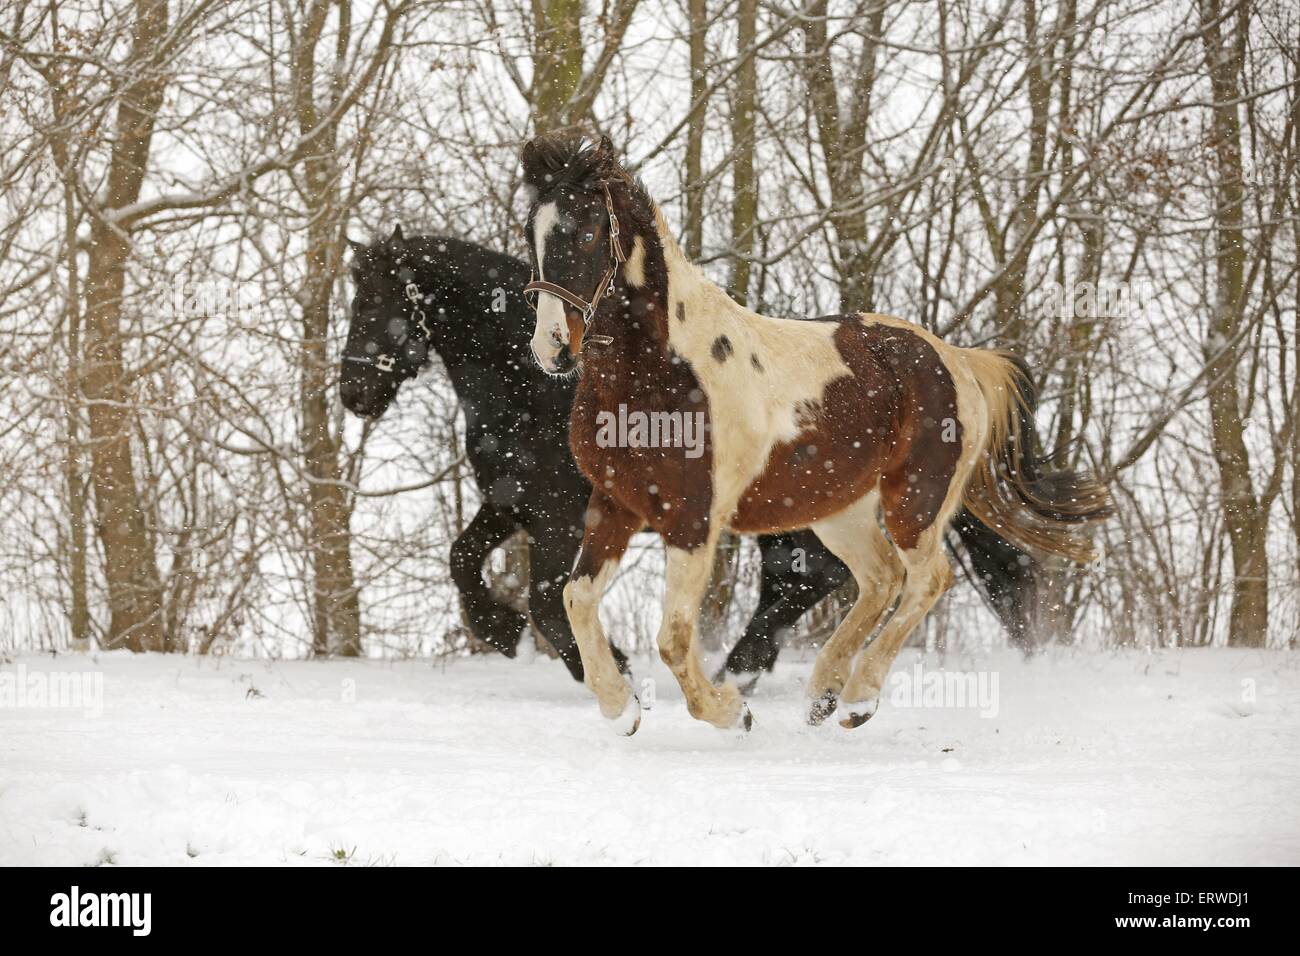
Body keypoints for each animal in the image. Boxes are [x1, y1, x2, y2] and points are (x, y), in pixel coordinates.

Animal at [337, 229, 1042, 686]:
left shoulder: (559, 515)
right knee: (814, 582)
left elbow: (543, 597)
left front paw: (606, 666)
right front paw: (503, 633)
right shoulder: (513, 503)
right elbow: (462, 561)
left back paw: (741, 673)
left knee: (809, 580)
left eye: (373, 302)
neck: (532, 386)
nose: (353, 393)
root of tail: (950, 366)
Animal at [520, 132, 1111, 733]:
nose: (552, 349)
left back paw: (856, 700)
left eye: (587, 234)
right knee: (881, 577)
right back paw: (824, 694)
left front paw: (733, 712)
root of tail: (960, 361)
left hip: (916, 501)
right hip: (836, 505)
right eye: (531, 235)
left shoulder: (693, 519)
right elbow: (575, 598)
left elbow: (674, 637)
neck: (664, 378)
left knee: (926, 579)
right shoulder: (616, 502)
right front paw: (621, 709)